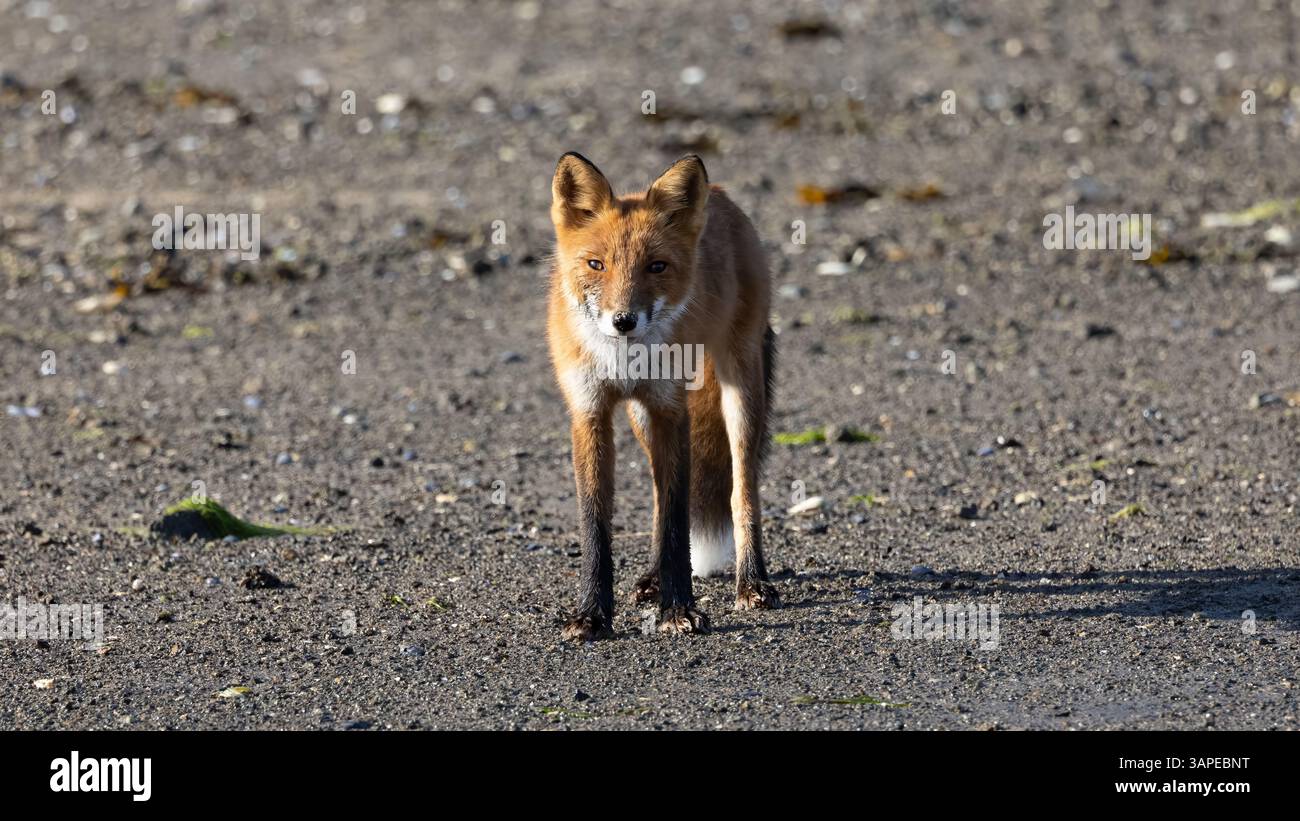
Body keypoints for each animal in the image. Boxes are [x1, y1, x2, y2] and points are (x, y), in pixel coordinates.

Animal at [547, 152, 780, 640]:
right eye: (596, 265)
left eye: (656, 267)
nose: (623, 321)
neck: (622, 360)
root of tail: (720, 195)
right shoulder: (589, 412)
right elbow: (597, 523)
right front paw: (592, 614)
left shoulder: (671, 408)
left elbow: (677, 520)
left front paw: (679, 610)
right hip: (639, 417)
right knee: (657, 495)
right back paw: (654, 579)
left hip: (739, 387)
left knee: (741, 489)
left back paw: (752, 580)